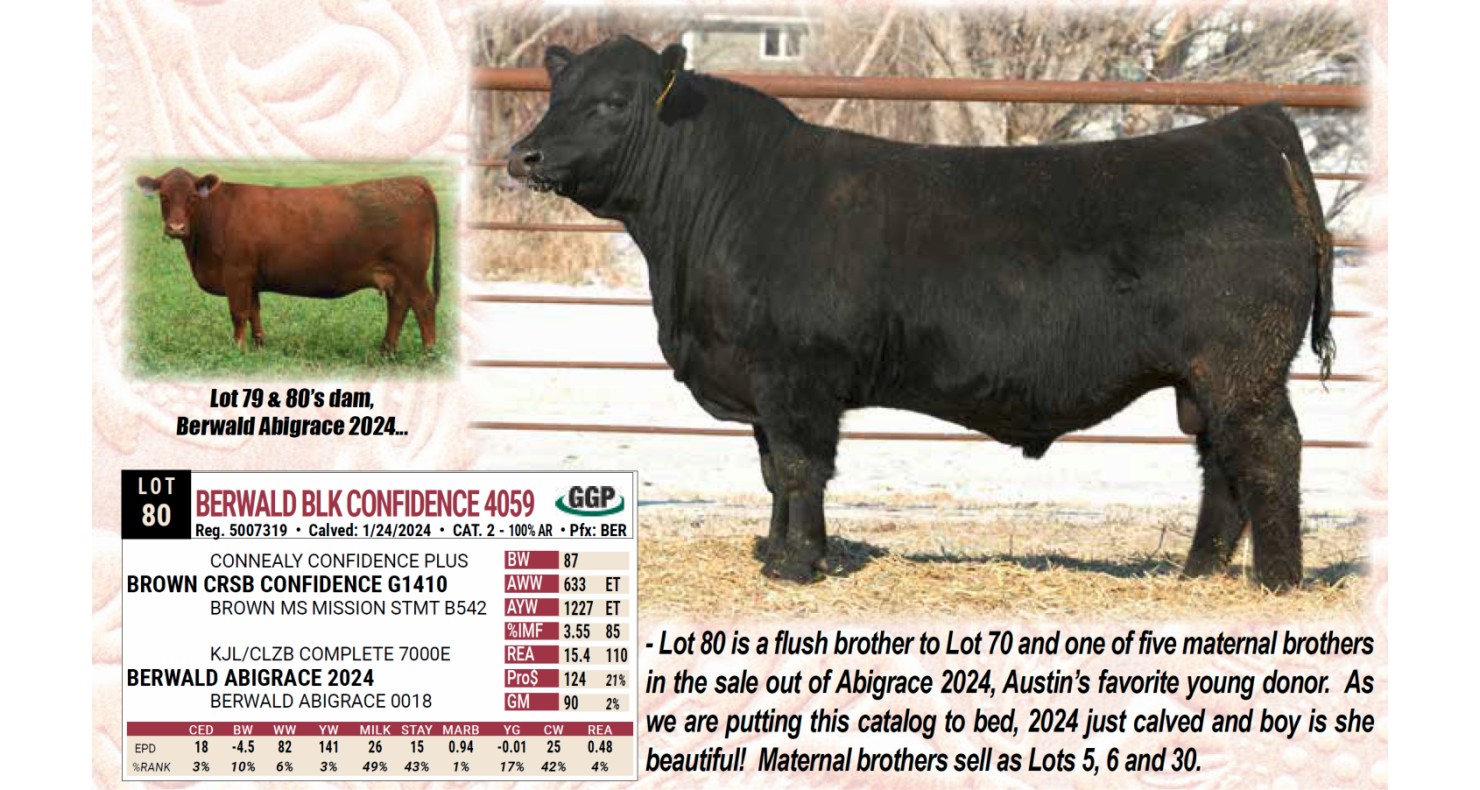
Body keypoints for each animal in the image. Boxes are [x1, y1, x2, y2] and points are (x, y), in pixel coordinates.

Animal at [135, 168, 441, 352]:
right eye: (163, 196)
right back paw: (386, 350)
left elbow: (238, 313)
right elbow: (254, 311)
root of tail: (411, 179)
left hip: (412, 272)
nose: (176, 228)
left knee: (423, 305)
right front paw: (259, 345)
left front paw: (238, 348)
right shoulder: (251, 278)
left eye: (191, 197)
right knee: (399, 306)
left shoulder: (236, 273)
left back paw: (428, 352)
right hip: (396, 275)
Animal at [508, 37, 1335, 591]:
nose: (524, 156)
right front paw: (777, 554)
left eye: (613, 102)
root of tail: (1254, 128)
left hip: (1243, 369)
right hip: (1204, 381)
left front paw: (798, 565)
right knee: (1220, 465)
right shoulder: (758, 387)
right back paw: (1197, 572)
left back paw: (1277, 581)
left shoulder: (796, 377)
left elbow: (803, 469)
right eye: (555, 95)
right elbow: (775, 474)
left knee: (1270, 452)